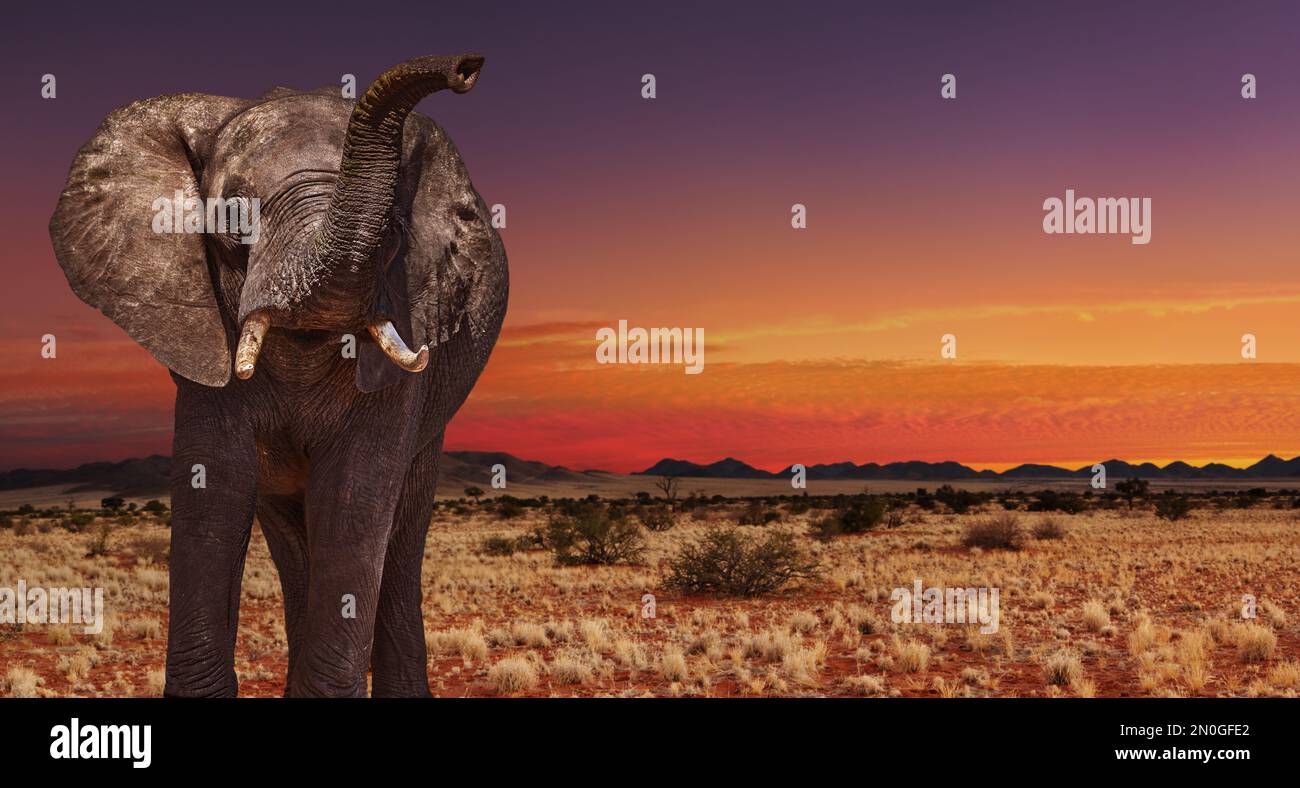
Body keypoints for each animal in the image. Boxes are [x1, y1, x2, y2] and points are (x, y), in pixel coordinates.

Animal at [48, 54, 508, 697]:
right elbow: (214, 483)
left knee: (400, 533)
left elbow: (355, 495)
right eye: (234, 218)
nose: (466, 67)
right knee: (292, 537)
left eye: (394, 231)